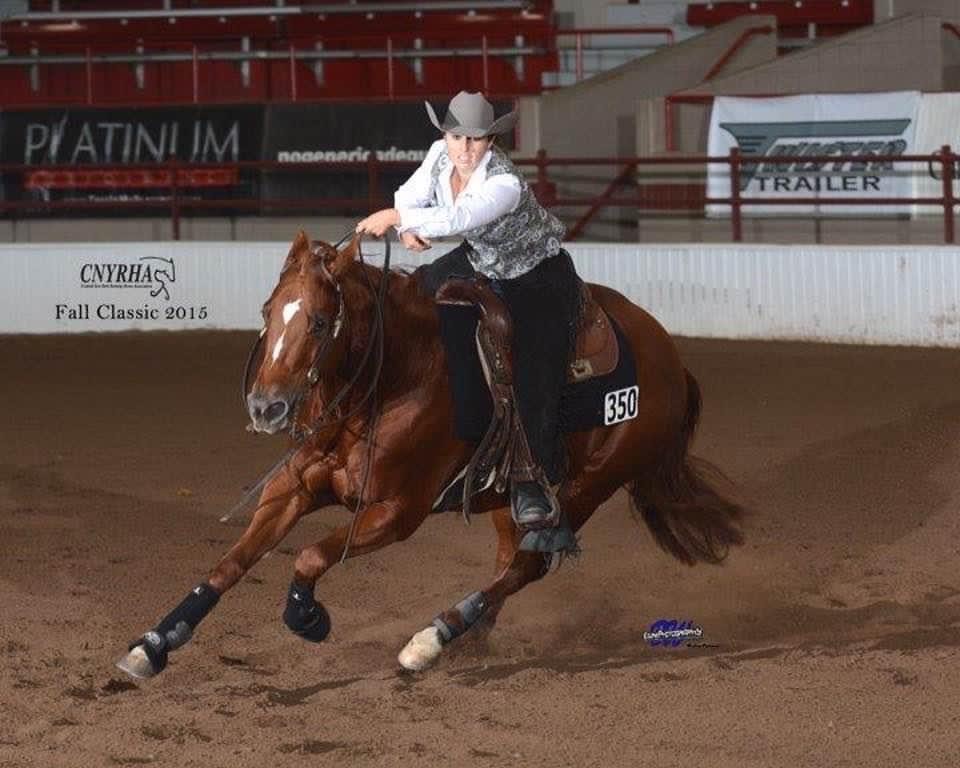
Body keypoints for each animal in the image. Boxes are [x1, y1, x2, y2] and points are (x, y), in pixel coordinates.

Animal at [117, 231, 744, 679]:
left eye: (318, 322)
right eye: (269, 310)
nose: (266, 407)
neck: (396, 373)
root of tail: (672, 361)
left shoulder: (397, 511)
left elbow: (311, 557)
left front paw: (308, 617)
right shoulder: (294, 485)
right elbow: (230, 564)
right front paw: (153, 645)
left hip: (587, 486)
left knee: (529, 565)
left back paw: (430, 640)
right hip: (510, 495)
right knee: (509, 562)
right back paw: (468, 638)